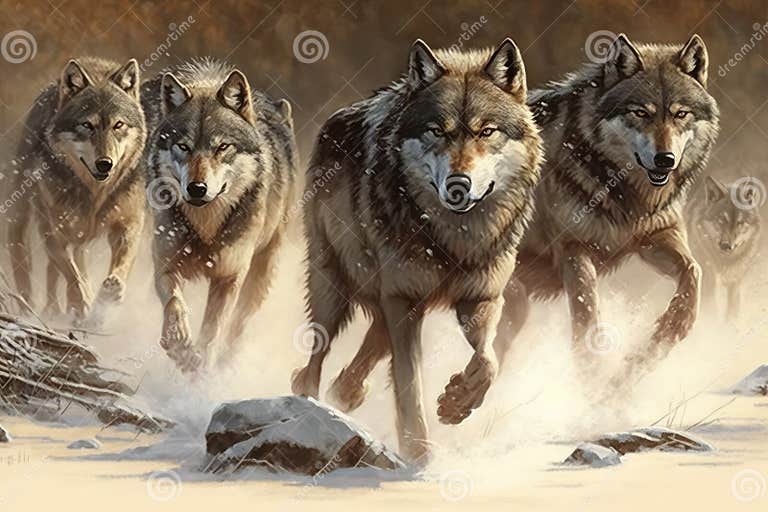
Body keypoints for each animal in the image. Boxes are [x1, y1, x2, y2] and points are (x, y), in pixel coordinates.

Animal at [6, 57, 146, 322]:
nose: (105, 164)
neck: (95, 195)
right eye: (87, 125)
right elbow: (72, 276)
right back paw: (34, 311)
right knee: (28, 269)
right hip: (21, 221)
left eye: (118, 125)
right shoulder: (53, 232)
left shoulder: (130, 224)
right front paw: (81, 304)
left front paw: (110, 293)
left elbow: (121, 265)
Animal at [142, 59, 297, 372]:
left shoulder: (229, 276)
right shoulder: (164, 263)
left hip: (261, 273)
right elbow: (175, 305)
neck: (206, 225)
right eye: (183, 146)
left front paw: (200, 364)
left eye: (222, 147)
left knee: (238, 326)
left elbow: (213, 329)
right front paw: (179, 345)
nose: (197, 188)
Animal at [290, 39, 543, 462]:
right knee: (313, 363)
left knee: (372, 342)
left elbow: (488, 360)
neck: (452, 239)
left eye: (486, 131)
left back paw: (347, 390)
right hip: (333, 287)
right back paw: (310, 401)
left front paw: (457, 402)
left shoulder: (481, 297)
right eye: (436, 131)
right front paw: (417, 452)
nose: (459, 184)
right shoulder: (404, 301)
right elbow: (409, 385)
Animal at [687, 176, 762, 320]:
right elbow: (711, 311)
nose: (726, 245)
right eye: (721, 219)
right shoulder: (709, 283)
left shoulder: (736, 283)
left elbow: (732, 311)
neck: (726, 262)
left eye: (739, 222)